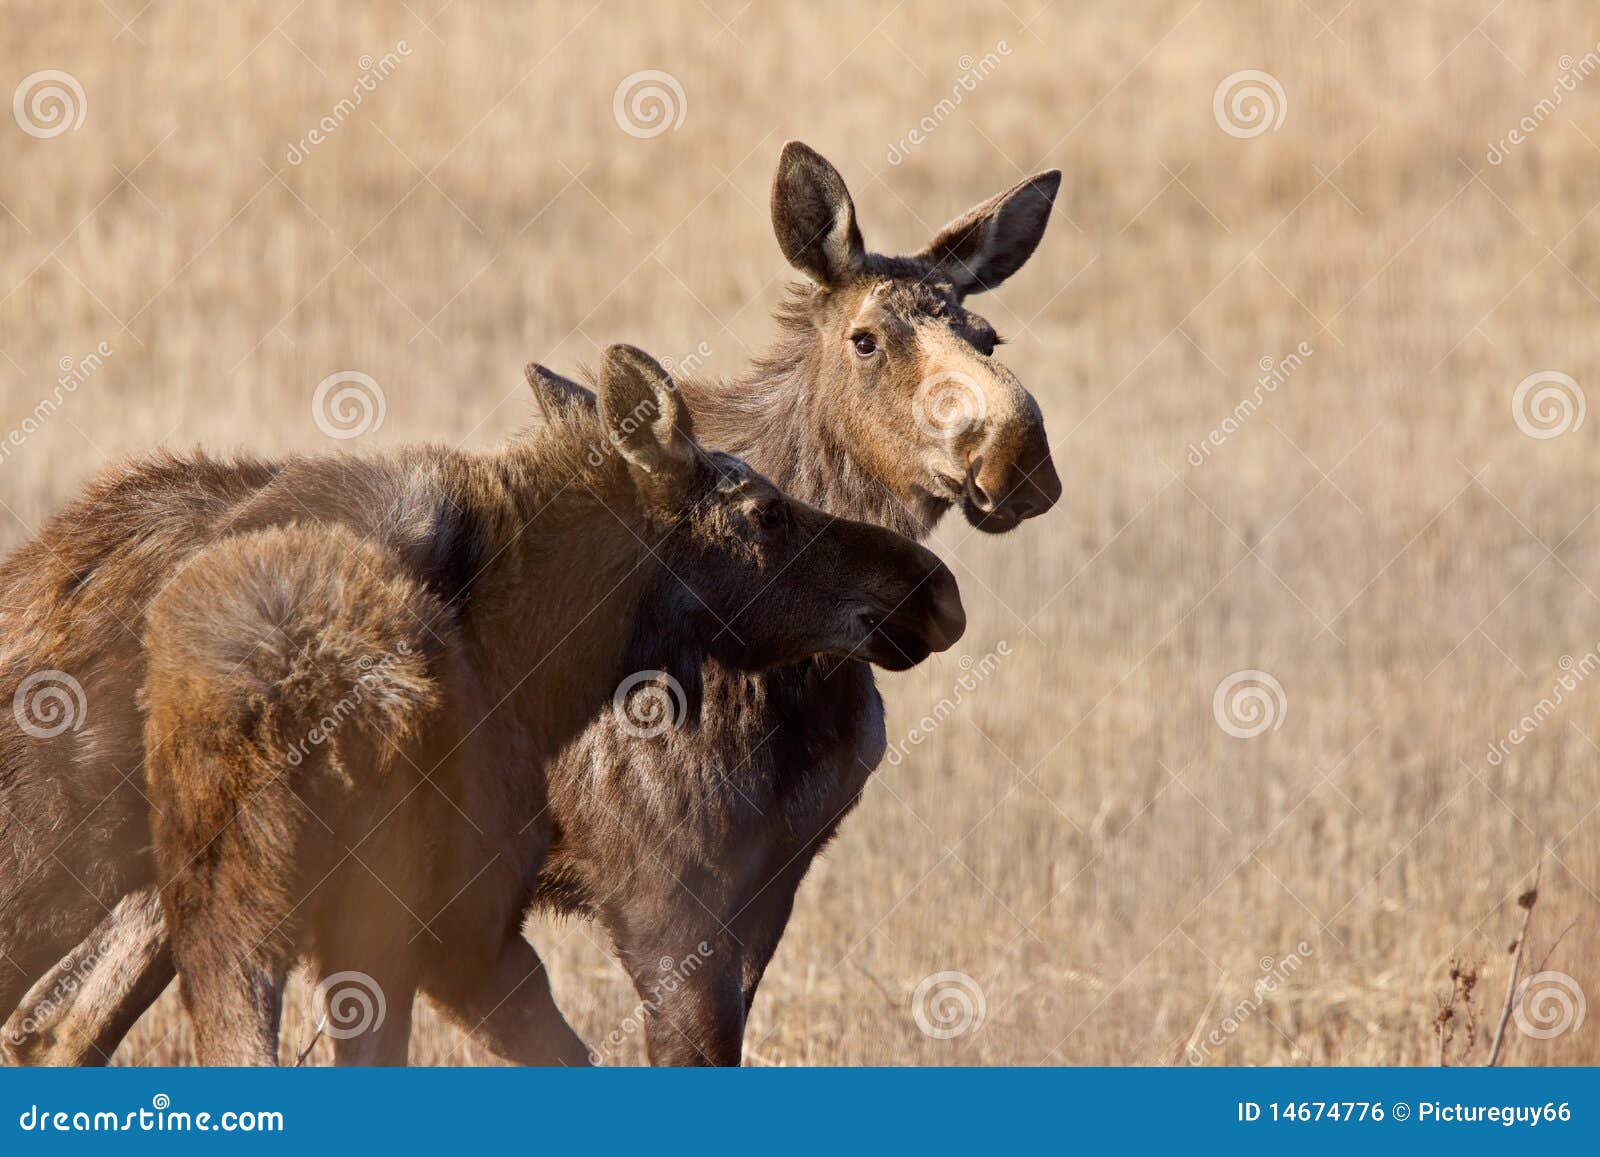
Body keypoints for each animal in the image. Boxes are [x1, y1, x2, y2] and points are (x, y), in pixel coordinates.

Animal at [4, 141, 1062, 1065]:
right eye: (867, 338)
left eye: (989, 334)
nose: (1018, 454)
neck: (797, 690)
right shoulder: (657, 903)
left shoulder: (765, 891)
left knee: (61, 1027)